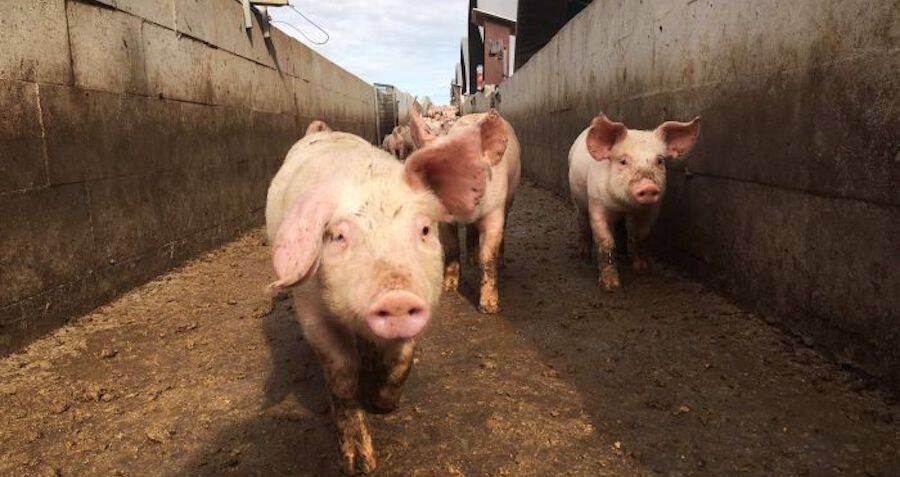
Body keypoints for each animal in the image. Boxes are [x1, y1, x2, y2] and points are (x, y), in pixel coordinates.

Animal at [266, 118, 497, 474]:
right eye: (338, 236)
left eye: (425, 230)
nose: (397, 297)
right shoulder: (311, 312)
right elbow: (341, 374)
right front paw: (360, 464)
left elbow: (402, 359)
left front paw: (384, 404)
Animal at [409, 107, 520, 313]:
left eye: (469, 173)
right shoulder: (444, 223)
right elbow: (452, 247)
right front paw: (448, 288)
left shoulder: (494, 212)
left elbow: (488, 256)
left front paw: (489, 308)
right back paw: (471, 259)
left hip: (510, 199)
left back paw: (499, 263)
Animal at [568, 113, 700, 290]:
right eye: (623, 161)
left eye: (660, 161)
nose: (648, 186)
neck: (626, 206)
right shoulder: (596, 202)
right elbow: (605, 240)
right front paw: (611, 286)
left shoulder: (652, 209)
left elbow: (641, 235)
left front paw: (643, 269)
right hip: (578, 200)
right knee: (582, 222)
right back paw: (584, 254)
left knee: (621, 227)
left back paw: (623, 254)